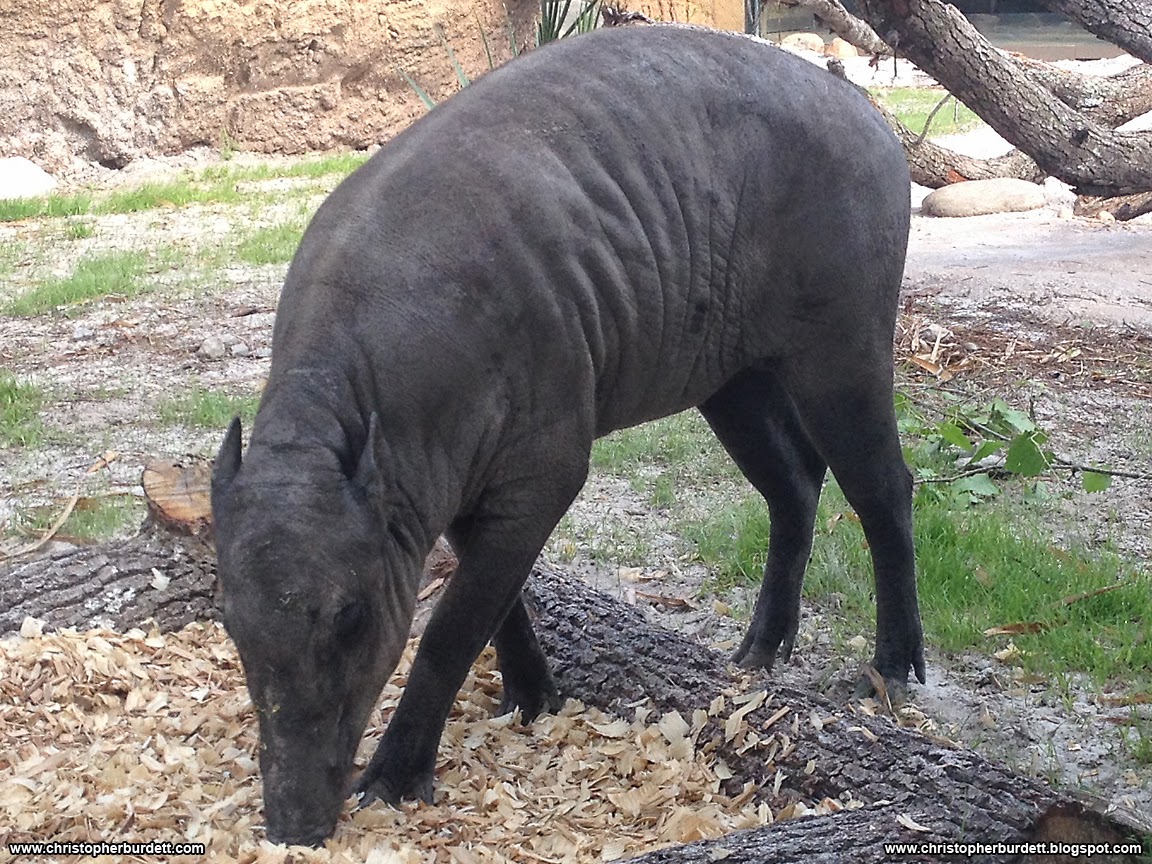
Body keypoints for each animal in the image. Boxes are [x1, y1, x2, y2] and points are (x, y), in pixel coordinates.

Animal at [210, 24, 923, 846]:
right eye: (230, 623)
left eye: (351, 618)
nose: (291, 825)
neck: (365, 390)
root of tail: (869, 112)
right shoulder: (455, 487)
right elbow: (499, 603)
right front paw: (533, 697)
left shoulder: (542, 472)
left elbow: (454, 627)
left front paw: (395, 775)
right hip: (730, 378)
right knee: (795, 484)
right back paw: (761, 647)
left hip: (842, 351)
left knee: (883, 490)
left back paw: (895, 667)